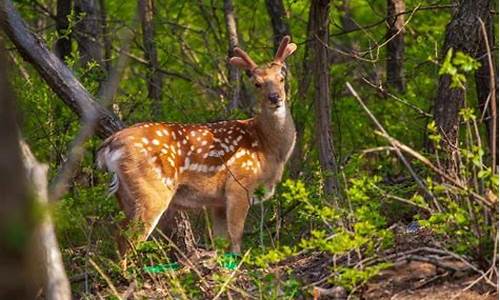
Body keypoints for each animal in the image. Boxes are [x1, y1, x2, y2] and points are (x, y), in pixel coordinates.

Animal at [96, 35, 296, 255]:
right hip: (152, 190)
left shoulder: (218, 202)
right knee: (129, 239)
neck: (267, 147)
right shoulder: (240, 183)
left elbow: (220, 241)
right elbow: (236, 238)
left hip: (125, 195)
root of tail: (109, 146)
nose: (275, 98)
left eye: (282, 78)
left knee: (119, 233)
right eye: (257, 83)